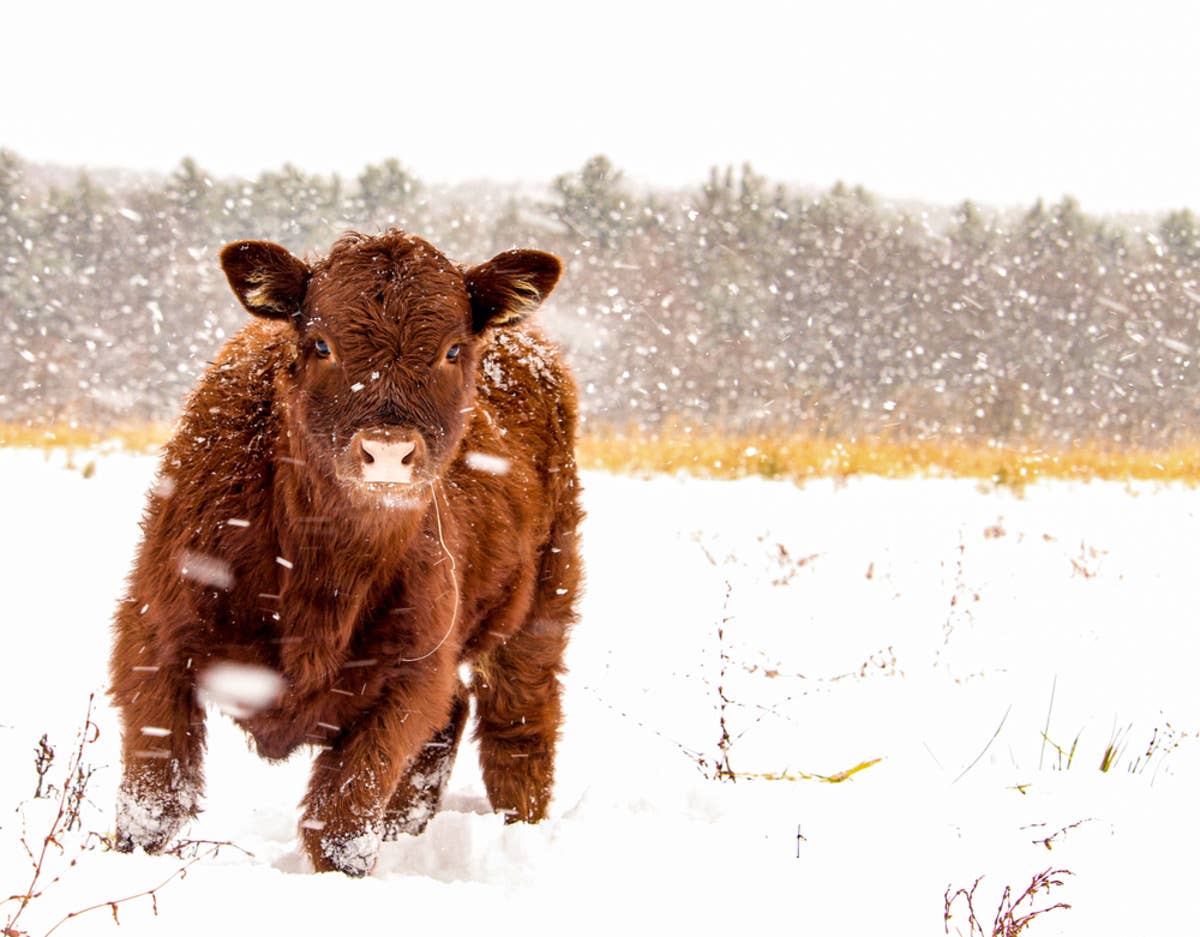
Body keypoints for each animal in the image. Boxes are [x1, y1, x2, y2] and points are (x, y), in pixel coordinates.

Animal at [108, 229, 582, 876]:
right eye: (321, 343)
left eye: (452, 350)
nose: (388, 452)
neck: (322, 569)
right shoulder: (153, 640)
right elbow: (155, 798)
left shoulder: (406, 679)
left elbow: (341, 817)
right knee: (454, 718)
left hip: (539, 613)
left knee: (519, 728)